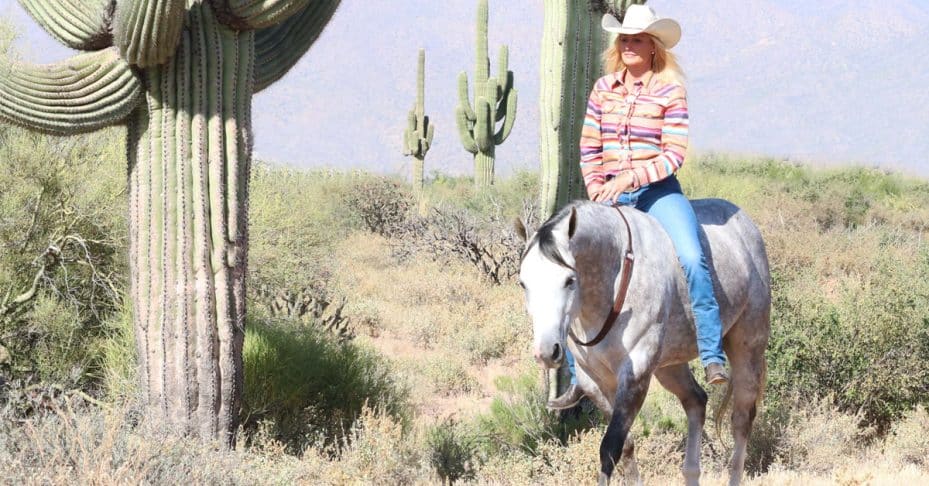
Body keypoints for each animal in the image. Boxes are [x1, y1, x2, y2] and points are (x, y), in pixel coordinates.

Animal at [516, 199, 770, 486]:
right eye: (523, 283)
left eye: (569, 281)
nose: (547, 352)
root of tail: (747, 227)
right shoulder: (595, 381)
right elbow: (625, 446)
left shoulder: (635, 374)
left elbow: (610, 447)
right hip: (669, 366)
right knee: (696, 401)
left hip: (748, 346)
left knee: (741, 419)